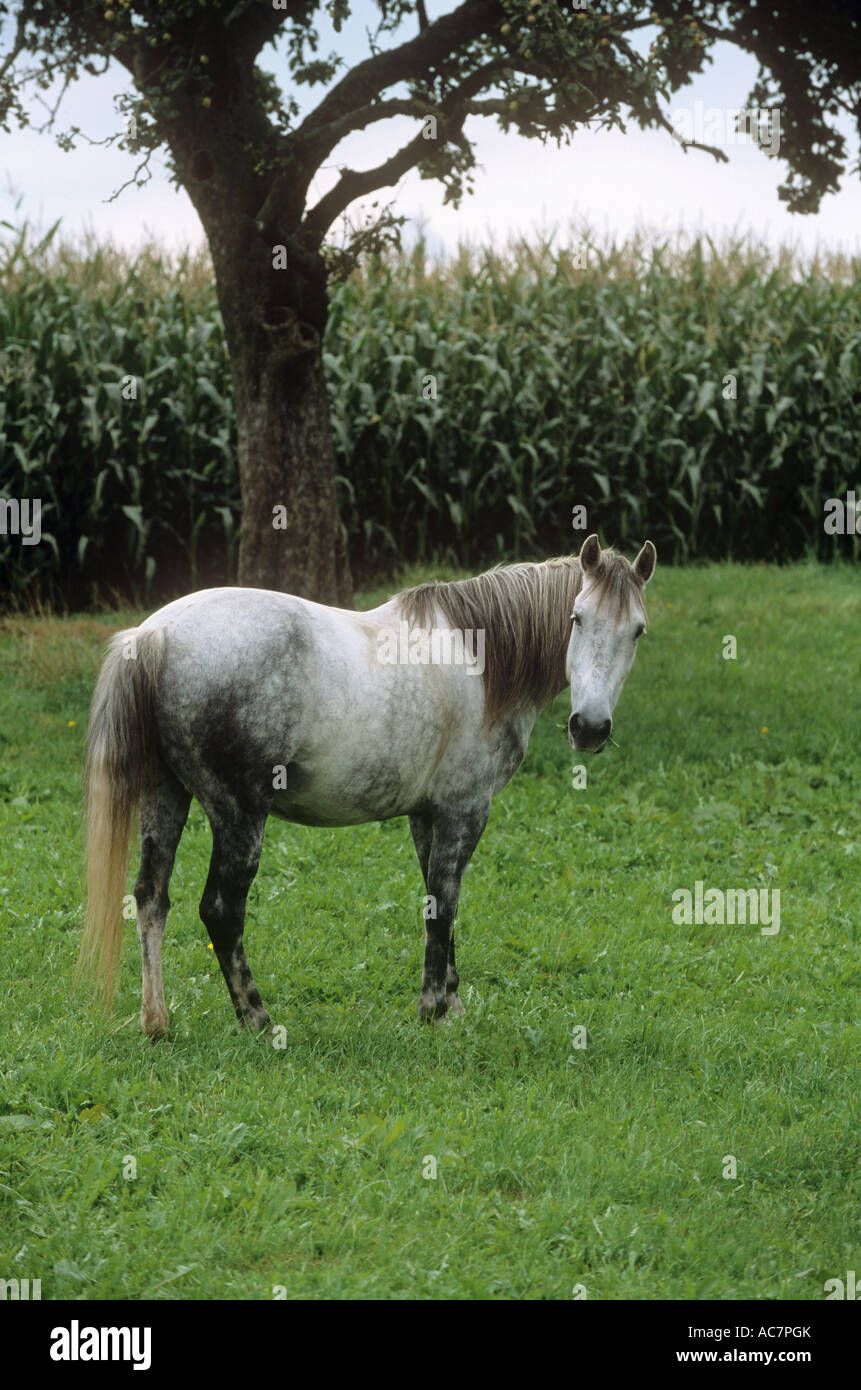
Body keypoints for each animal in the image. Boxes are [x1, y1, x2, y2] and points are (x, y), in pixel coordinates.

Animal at [79, 532, 655, 1037]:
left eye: (638, 631)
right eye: (577, 618)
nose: (590, 727)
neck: (482, 663)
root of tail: (154, 635)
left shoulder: (427, 816)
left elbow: (437, 904)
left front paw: (451, 1003)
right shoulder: (464, 812)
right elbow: (445, 901)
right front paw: (435, 1012)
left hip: (165, 796)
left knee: (151, 898)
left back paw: (157, 1022)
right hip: (238, 816)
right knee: (220, 911)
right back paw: (258, 1020)